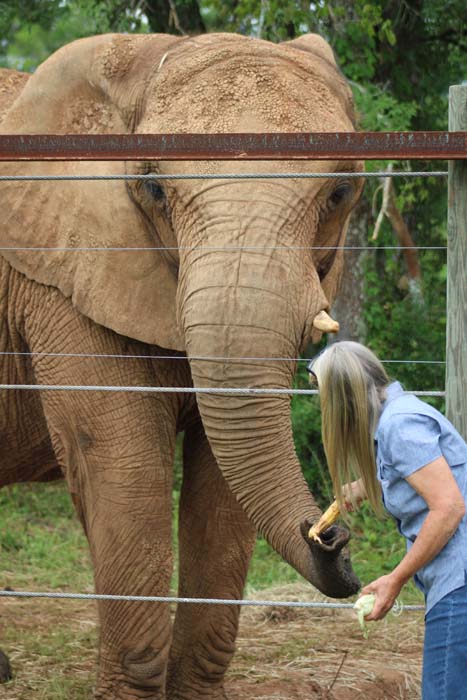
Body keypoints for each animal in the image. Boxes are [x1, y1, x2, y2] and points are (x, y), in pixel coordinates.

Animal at [0, 32, 363, 699]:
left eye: (340, 192)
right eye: (154, 190)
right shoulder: (66, 276)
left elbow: (221, 485)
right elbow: (124, 461)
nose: (331, 537)